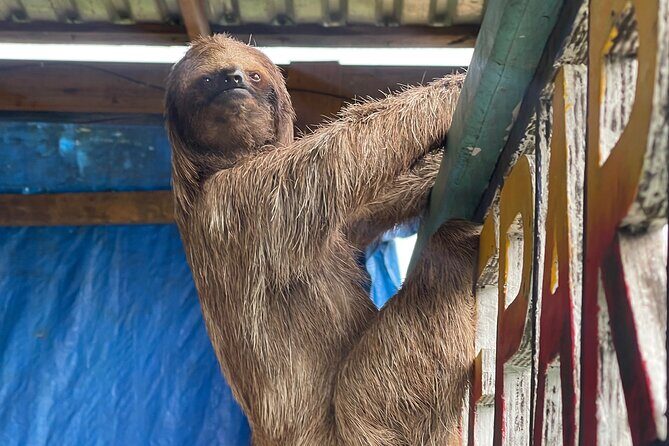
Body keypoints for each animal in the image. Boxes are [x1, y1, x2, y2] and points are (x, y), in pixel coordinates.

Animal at [165, 34, 479, 445]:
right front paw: (452, 91)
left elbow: (363, 212)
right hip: (359, 422)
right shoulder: (246, 197)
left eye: (253, 75)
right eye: (206, 81)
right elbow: (339, 157)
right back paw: (454, 245)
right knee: (438, 277)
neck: (221, 166)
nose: (233, 79)